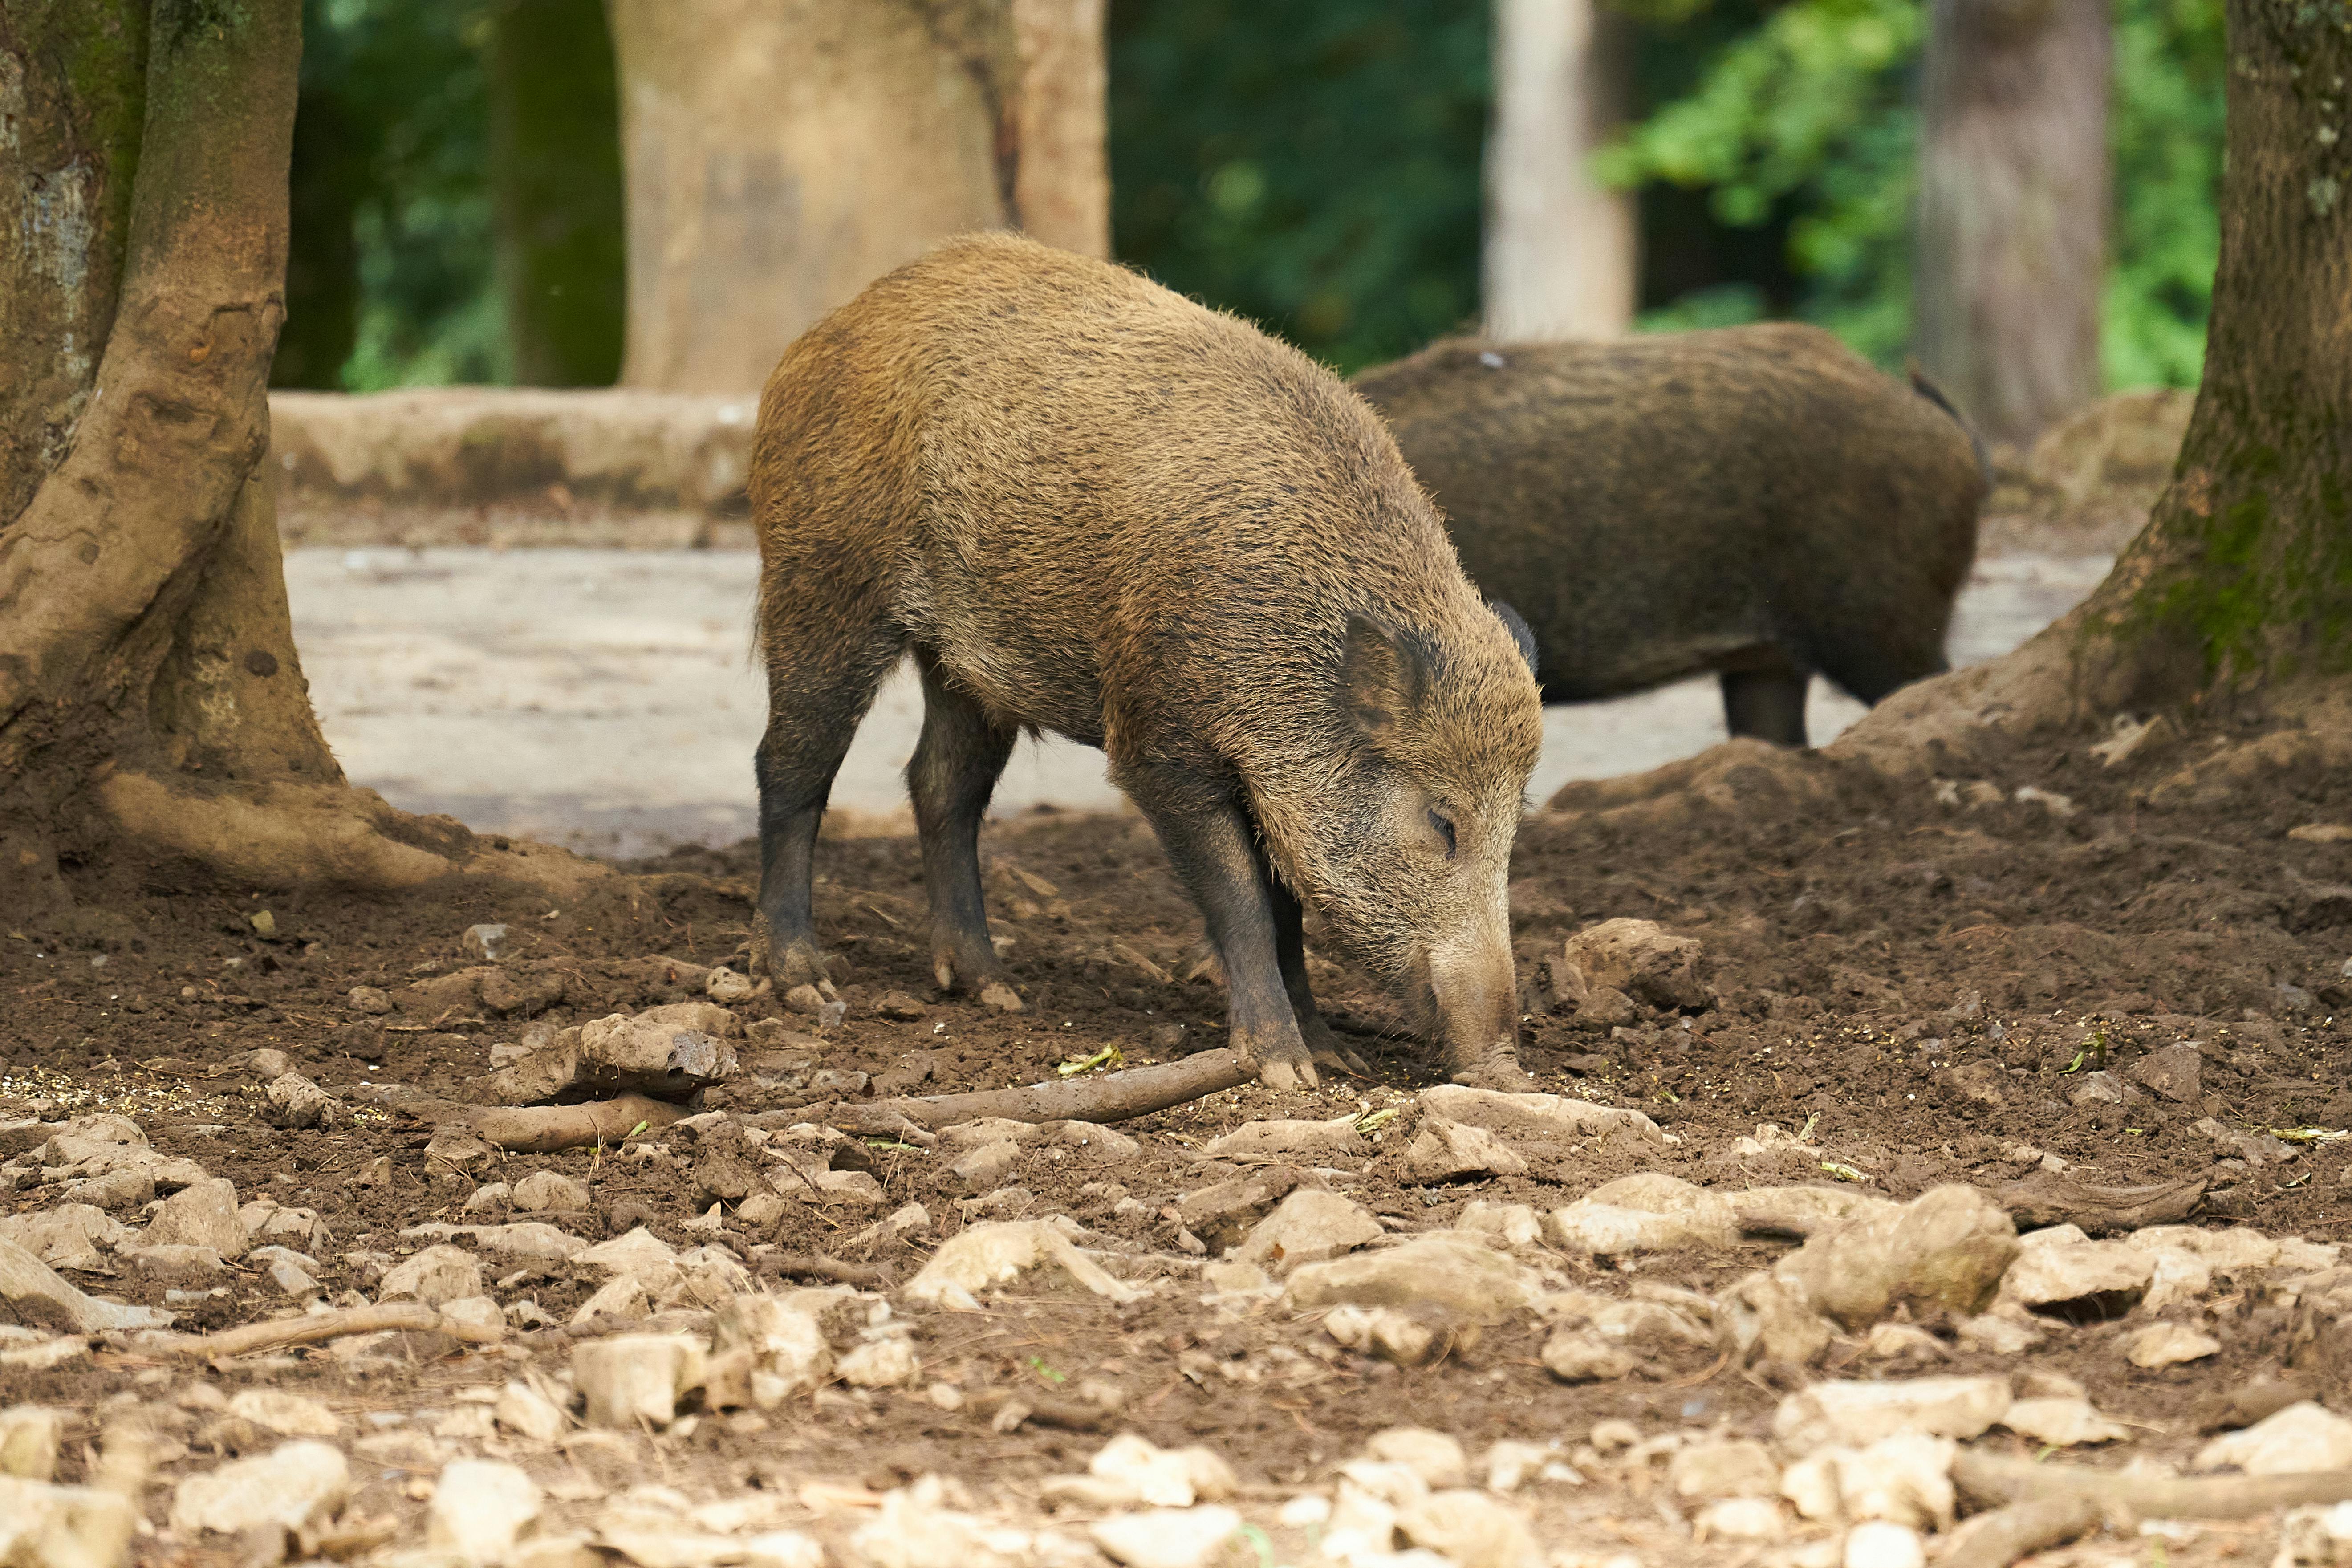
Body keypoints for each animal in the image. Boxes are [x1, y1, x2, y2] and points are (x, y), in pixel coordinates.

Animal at [746, 234, 1545, 1089]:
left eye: (1516, 820)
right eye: (1441, 820)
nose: (1503, 1061)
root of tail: (827, 331)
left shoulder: (1270, 782)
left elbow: (1287, 907)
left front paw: (1335, 1055)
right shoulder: (1159, 743)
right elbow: (1244, 904)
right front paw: (1286, 1071)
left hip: (966, 663)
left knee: (939, 786)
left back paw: (994, 991)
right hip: (822, 582)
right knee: (791, 766)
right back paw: (806, 984)